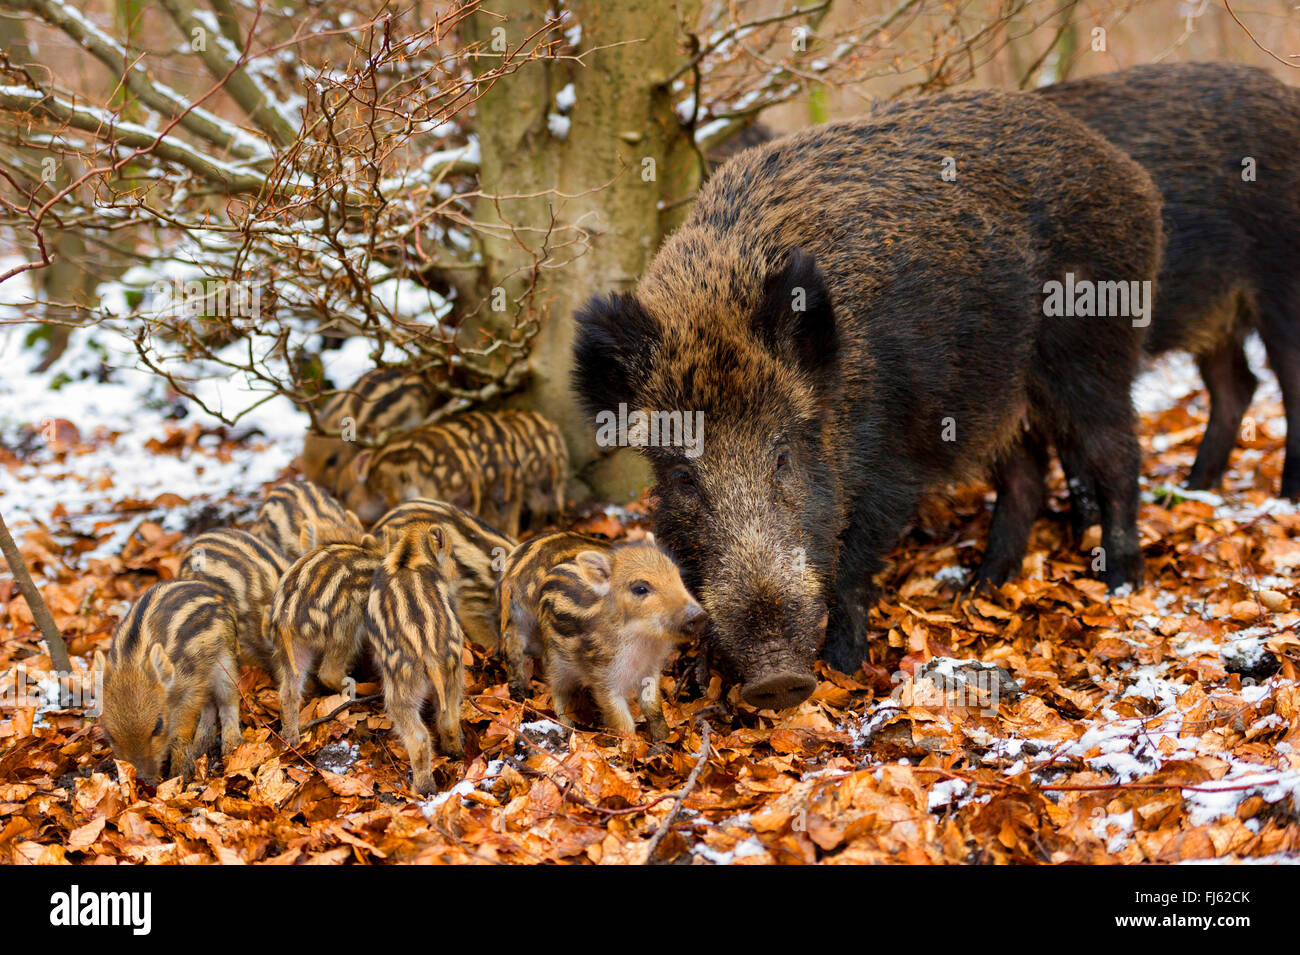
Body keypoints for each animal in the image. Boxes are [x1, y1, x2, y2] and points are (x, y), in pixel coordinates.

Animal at [95, 580, 242, 782]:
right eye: (110, 733)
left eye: (158, 726)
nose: (143, 779)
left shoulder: (190, 687)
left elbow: (180, 731)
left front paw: (179, 774)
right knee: (209, 706)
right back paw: (200, 748)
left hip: (224, 660)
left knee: (229, 699)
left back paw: (231, 747)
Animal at [366, 523, 465, 795]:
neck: (407, 557)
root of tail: (428, 654)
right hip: (454, 674)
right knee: (449, 719)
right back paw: (455, 753)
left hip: (400, 690)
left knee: (418, 737)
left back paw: (422, 788)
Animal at [497, 531, 706, 738]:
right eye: (640, 588)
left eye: (677, 576)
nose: (699, 615)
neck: (643, 639)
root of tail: (511, 579)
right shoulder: (604, 676)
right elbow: (624, 723)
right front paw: (632, 744)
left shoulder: (650, 669)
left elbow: (652, 707)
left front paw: (664, 739)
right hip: (556, 662)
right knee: (557, 692)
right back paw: (567, 728)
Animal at [572, 89, 1163, 706]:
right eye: (684, 477)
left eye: (784, 456)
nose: (777, 680)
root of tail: (1124, 170)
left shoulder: (892, 464)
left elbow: (852, 565)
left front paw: (844, 668)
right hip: (999, 391)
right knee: (1026, 473)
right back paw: (980, 589)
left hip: (1093, 353)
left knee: (1118, 452)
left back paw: (1120, 583)